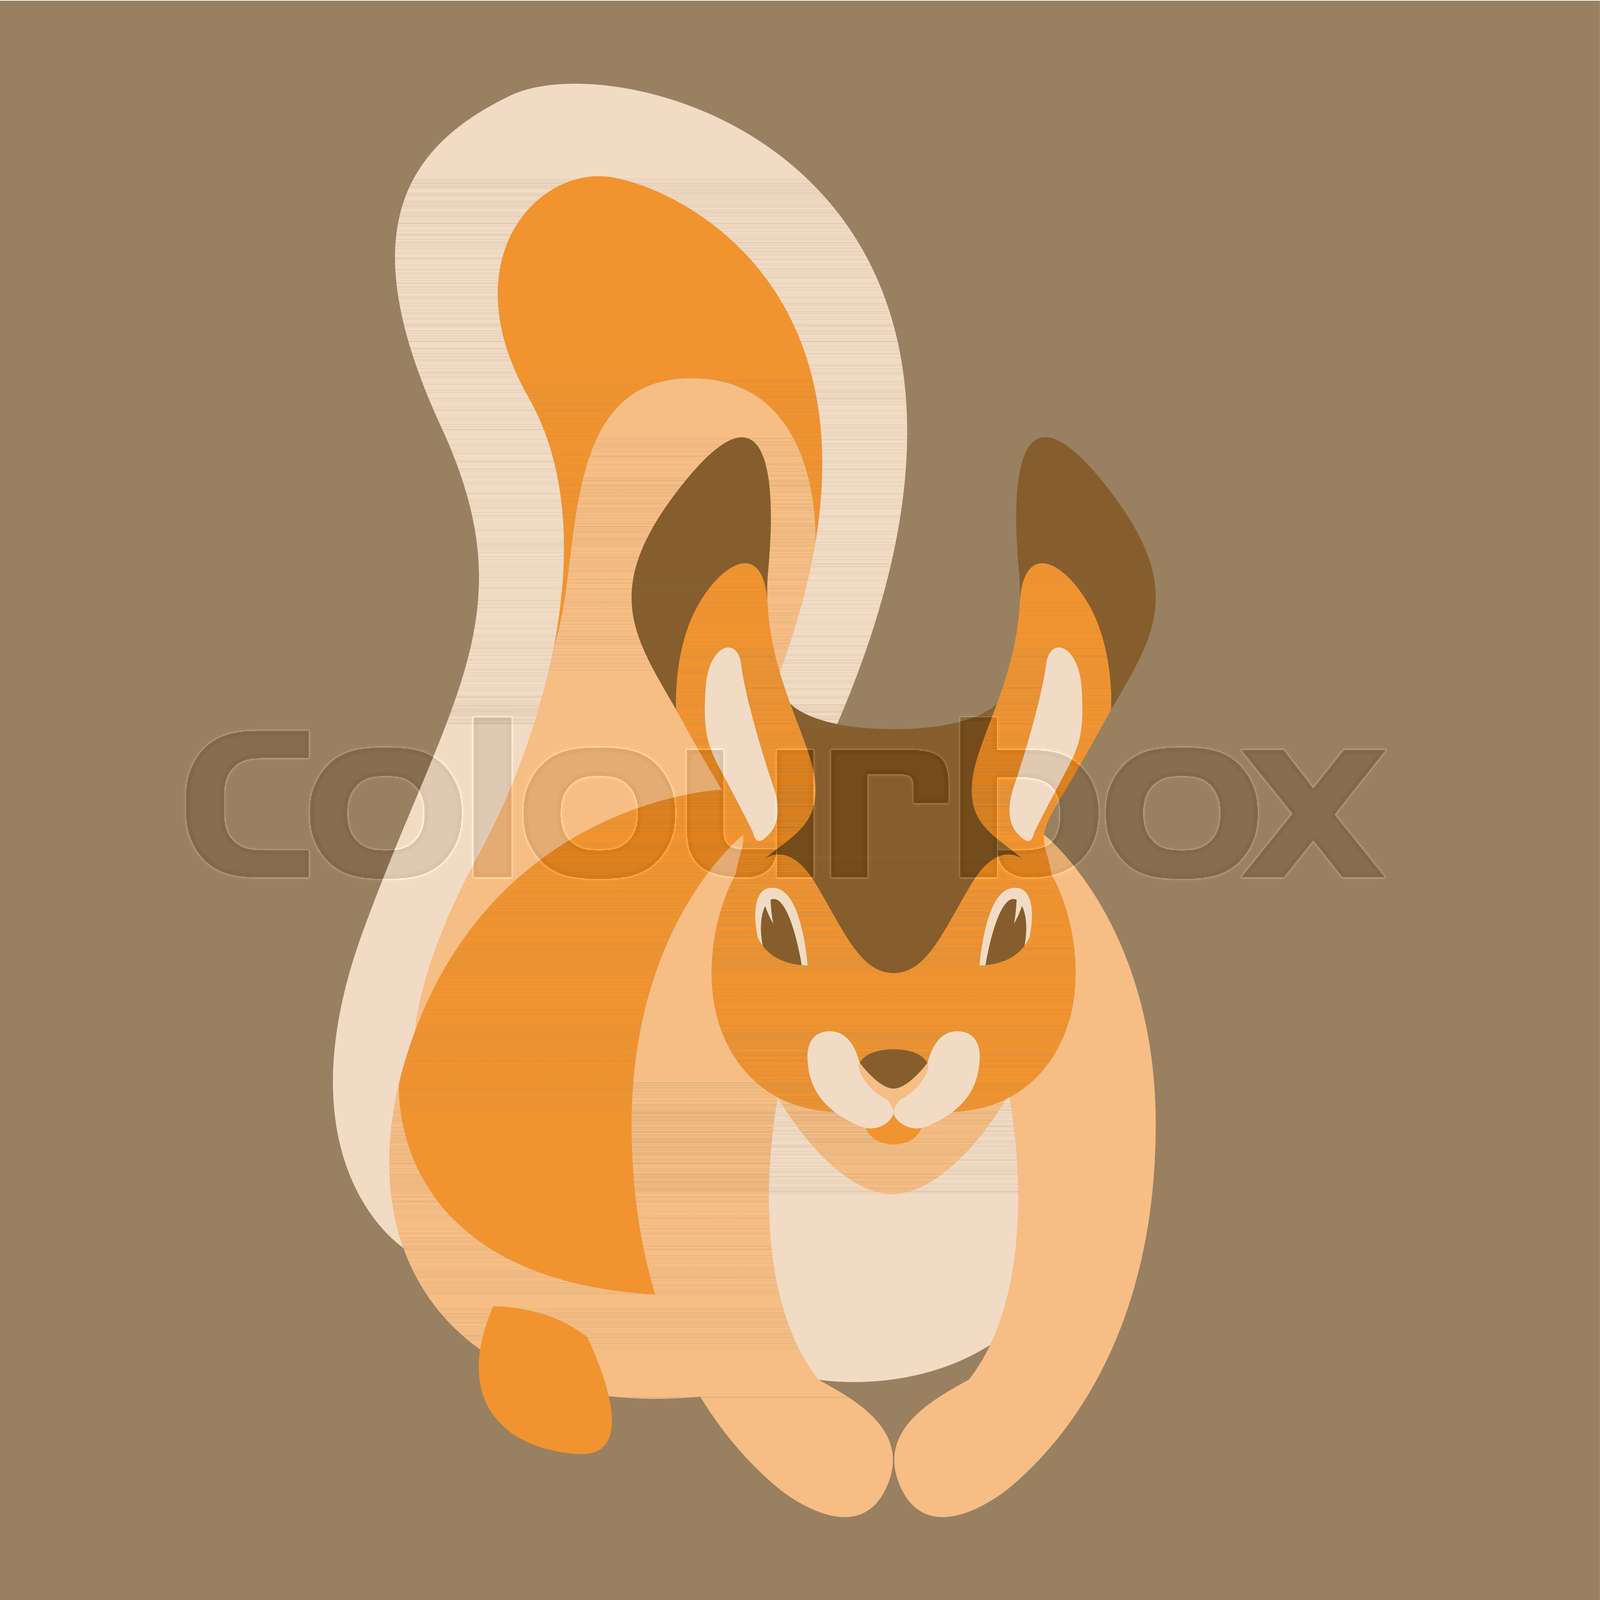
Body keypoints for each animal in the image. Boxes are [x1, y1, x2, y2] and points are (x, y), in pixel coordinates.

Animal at [333, 86, 1156, 1518]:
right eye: (772, 928)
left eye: (1012, 930)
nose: (893, 1065)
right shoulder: (685, 1131)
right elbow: (746, 1335)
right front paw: (834, 1469)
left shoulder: (1103, 1100)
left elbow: (1068, 1321)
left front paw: (955, 1466)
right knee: (535, 1326)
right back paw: (559, 1394)